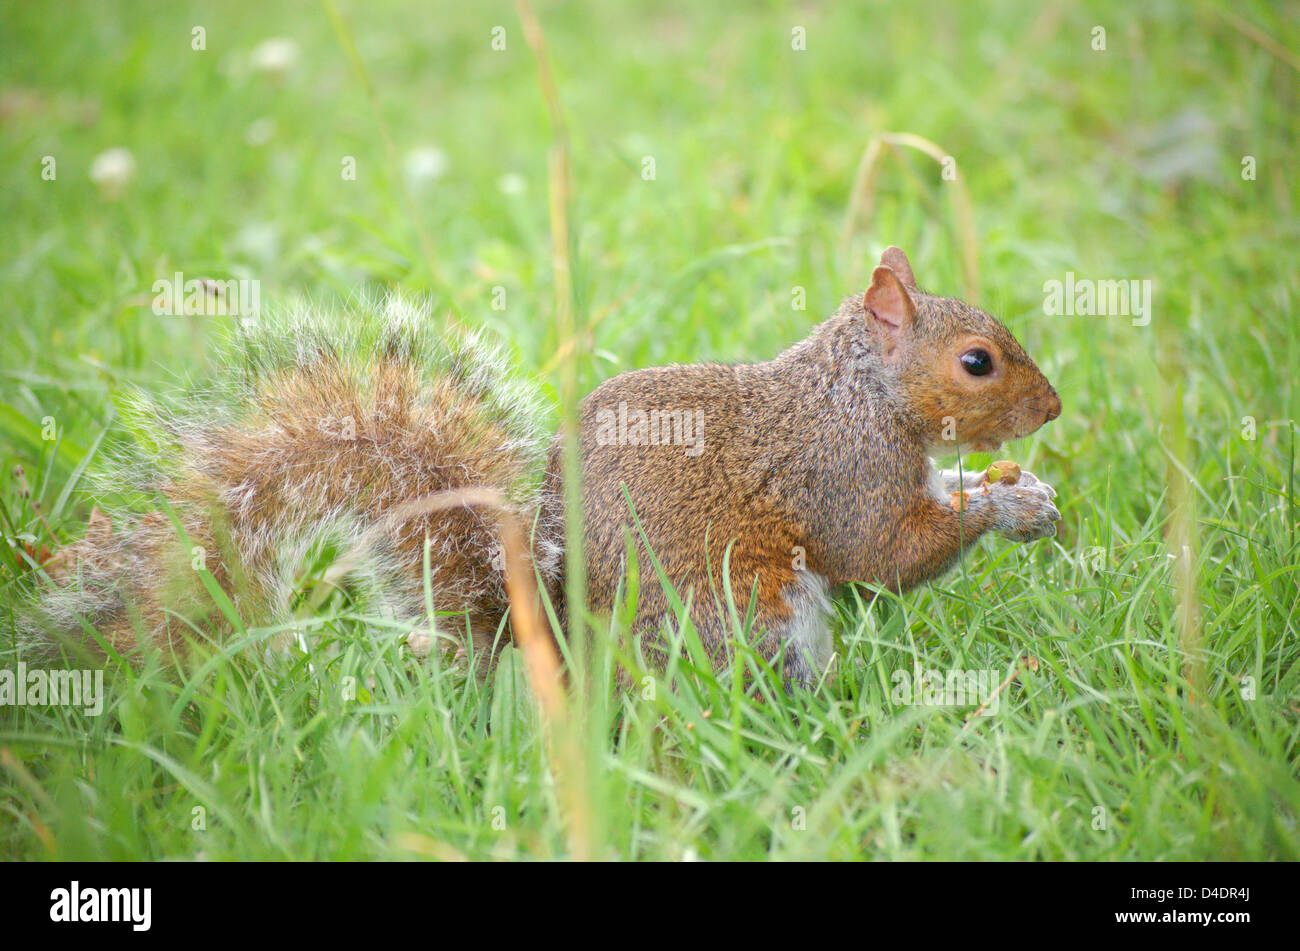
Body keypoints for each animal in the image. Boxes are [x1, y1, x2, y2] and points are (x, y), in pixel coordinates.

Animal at [18, 247, 1061, 689]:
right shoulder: (844, 469)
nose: (1052, 410)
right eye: (978, 361)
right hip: (750, 611)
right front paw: (1001, 512)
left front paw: (1021, 492)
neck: (861, 392)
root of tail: (563, 651)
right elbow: (885, 553)